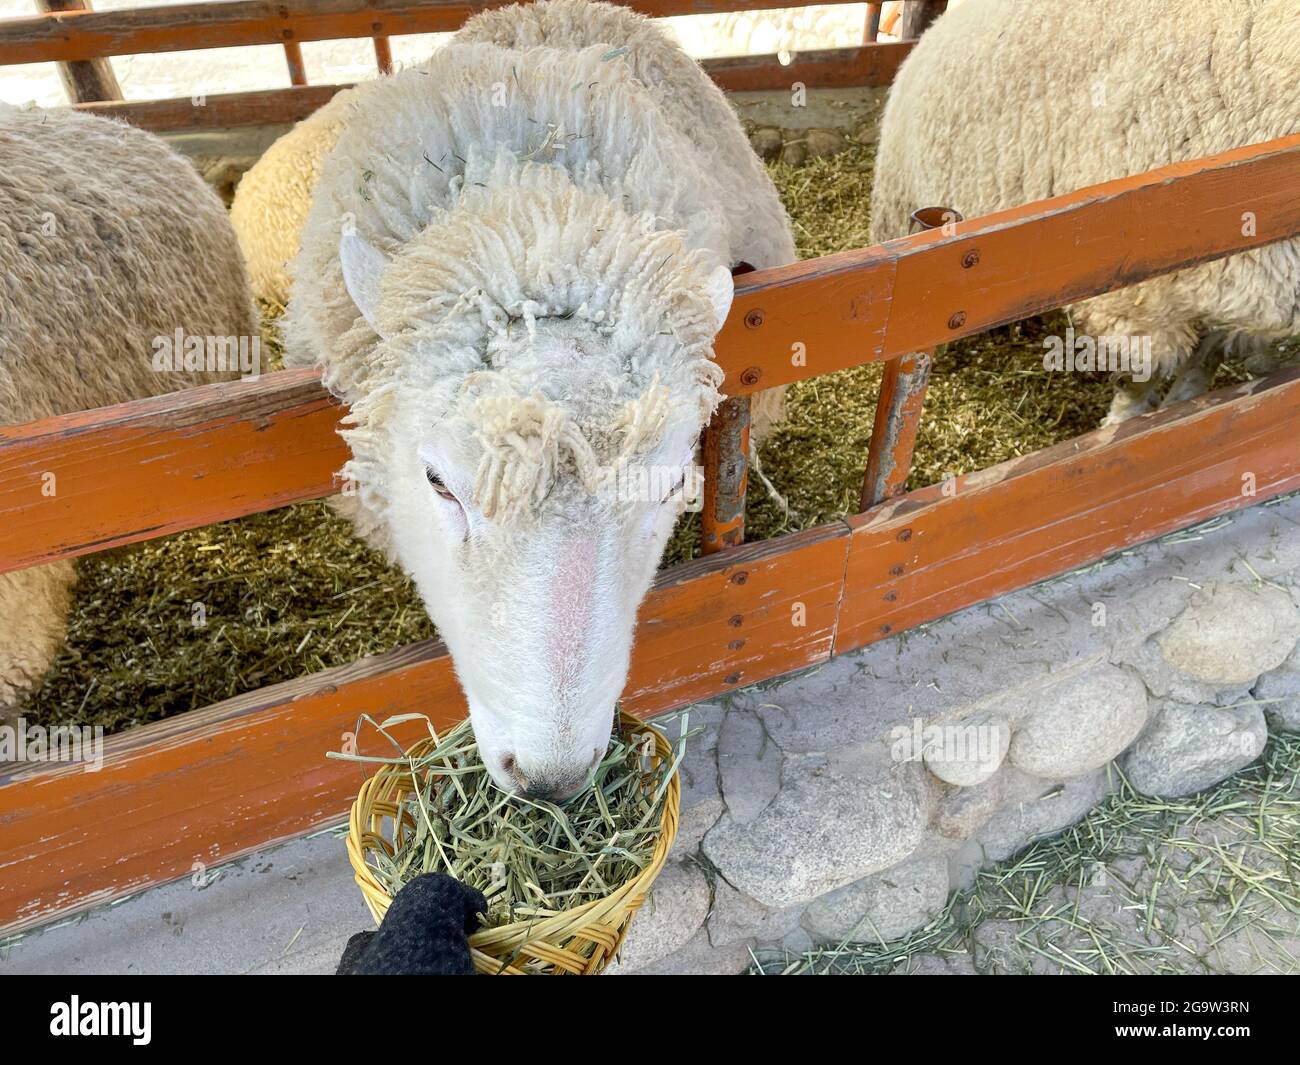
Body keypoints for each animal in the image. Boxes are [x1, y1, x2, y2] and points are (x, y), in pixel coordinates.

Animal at [869, 0, 1300, 424]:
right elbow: (1139, 380)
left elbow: (1201, 366)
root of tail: (931, 34)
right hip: (901, 208)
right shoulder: (1135, 297)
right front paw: (1125, 426)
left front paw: (1181, 409)